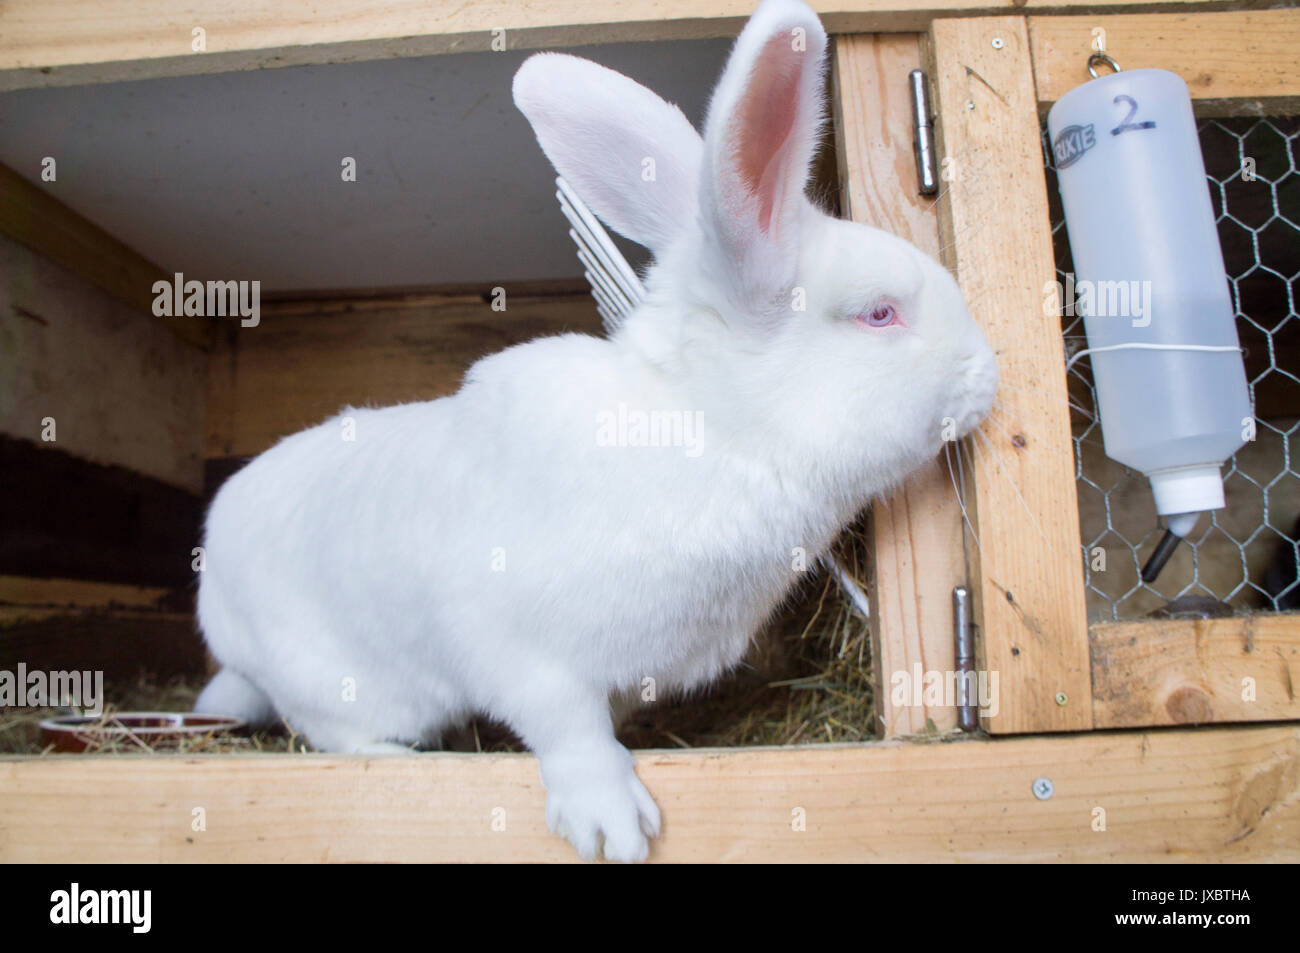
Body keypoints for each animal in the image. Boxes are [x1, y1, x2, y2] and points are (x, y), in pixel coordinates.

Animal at [194, 0, 999, 862]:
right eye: (879, 313)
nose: (990, 372)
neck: (713, 431)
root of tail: (215, 606)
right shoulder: (523, 652)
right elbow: (569, 729)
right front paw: (613, 823)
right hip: (334, 680)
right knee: (332, 730)